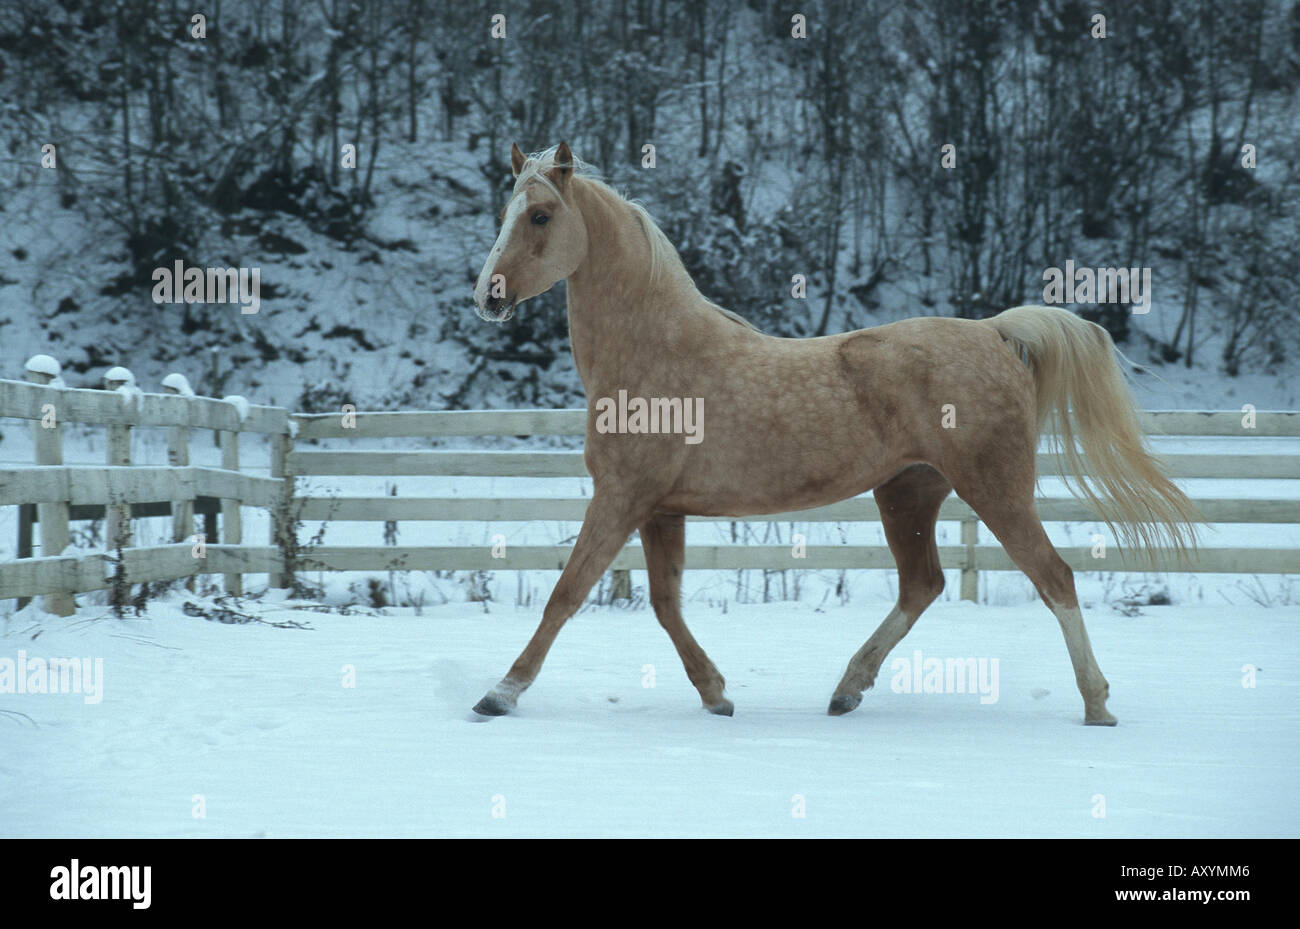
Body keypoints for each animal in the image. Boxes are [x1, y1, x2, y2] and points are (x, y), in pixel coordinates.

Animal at [469, 141, 1199, 725]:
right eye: (505, 212)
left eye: (540, 215)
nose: (488, 296)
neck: (656, 352)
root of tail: (995, 332)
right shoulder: (659, 508)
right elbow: (665, 603)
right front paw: (716, 694)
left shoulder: (621, 496)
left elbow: (567, 593)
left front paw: (499, 694)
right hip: (908, 493)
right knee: (923, 585)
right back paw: (847, 689)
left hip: (996, 490)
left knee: (1055, 578)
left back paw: (1097, 704)